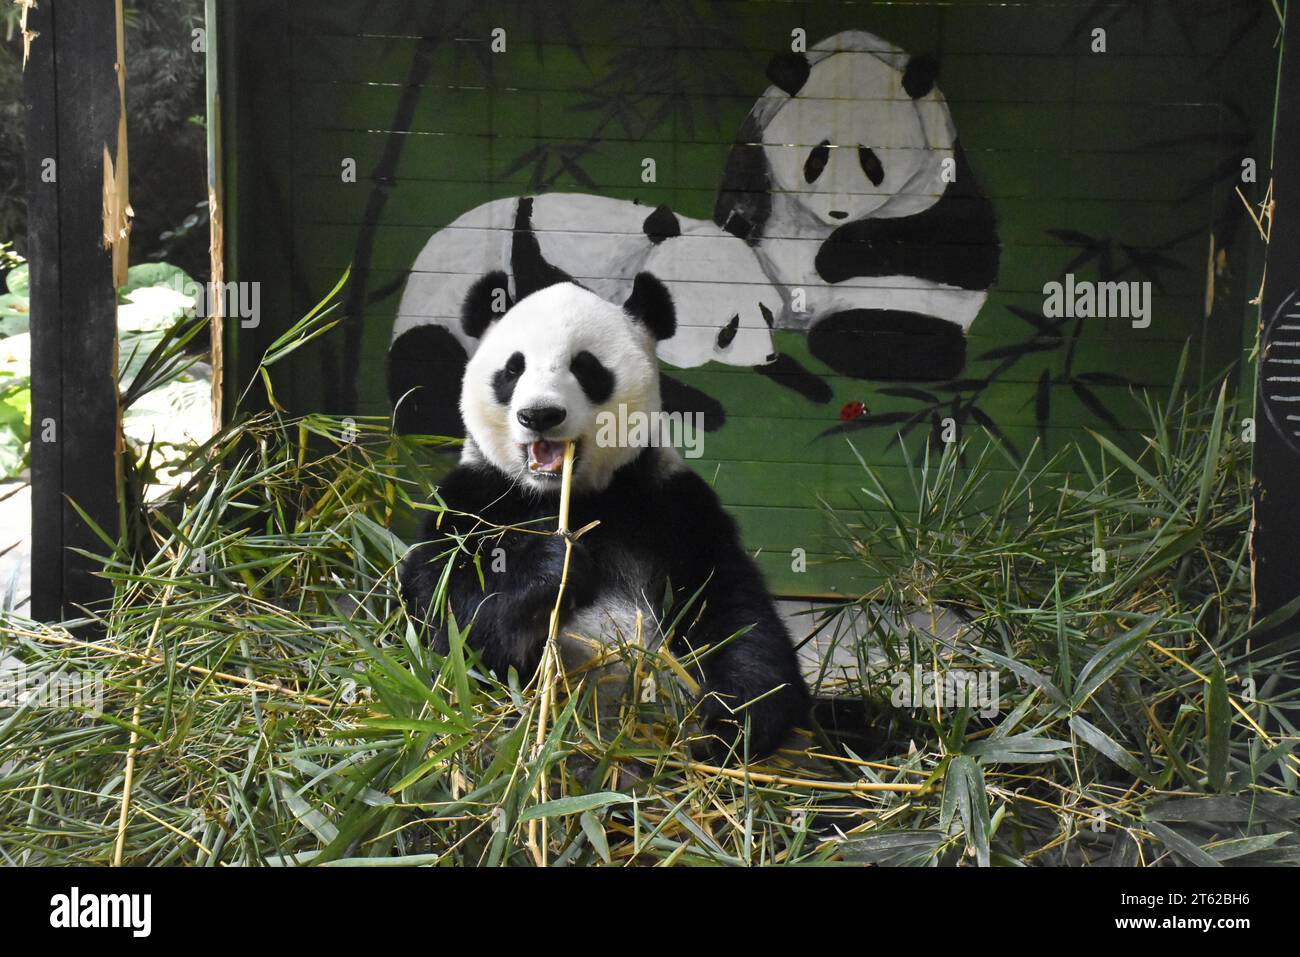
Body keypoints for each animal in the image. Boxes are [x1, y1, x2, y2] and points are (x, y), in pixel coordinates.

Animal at [388, 193, 787, 437]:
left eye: (767, 312)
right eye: (727, 331)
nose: (768, 356)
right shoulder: (540, 271)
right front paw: (705, 409)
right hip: (432, 320)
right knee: (427, 374)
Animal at [398, 275, 809, 760]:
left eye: (586, 367)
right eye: (513, 370)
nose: (540, 414)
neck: (571, 496)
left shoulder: (672, 506)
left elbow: (731, 608)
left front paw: (729, 724)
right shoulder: (473, 500)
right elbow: (451, 619)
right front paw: (557, 566)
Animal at [714, 30, 1000, 382]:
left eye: (871, 162)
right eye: (818, 158)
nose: (838, 212)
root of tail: (796, 320)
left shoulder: (943, 176)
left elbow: (970, 254)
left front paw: (830, 258)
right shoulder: (755, 140)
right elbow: (736, 203)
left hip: (894, 301)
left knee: (884, 340)